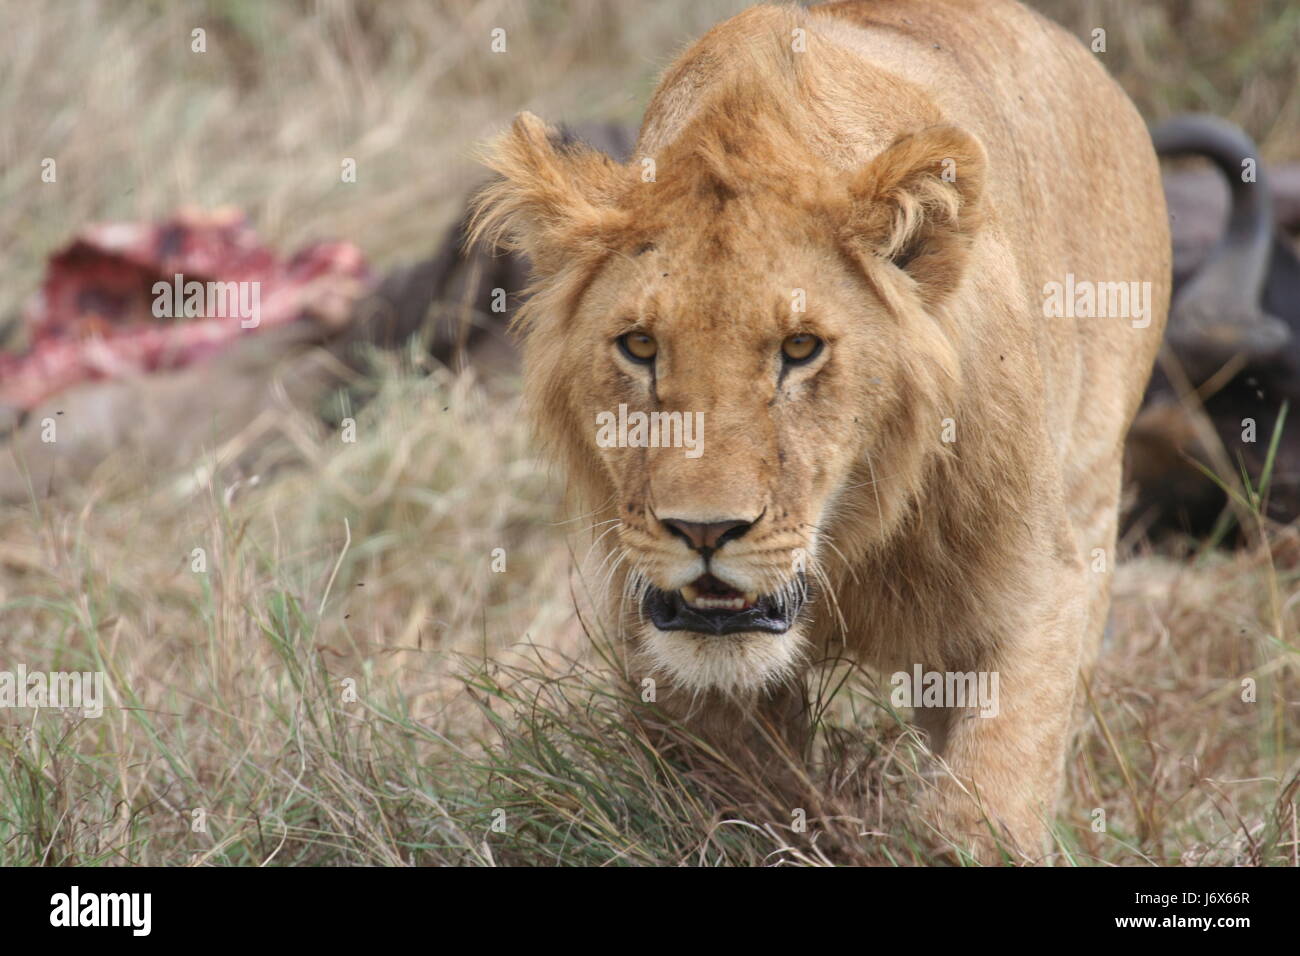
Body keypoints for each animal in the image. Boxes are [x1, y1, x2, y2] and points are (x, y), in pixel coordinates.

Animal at [472, 0, 1170, 862]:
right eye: (638, 346)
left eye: (800, 349)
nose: (705, 531)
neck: (848, 536)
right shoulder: (656, 639)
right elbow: (741, 805)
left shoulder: (1040, 585)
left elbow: (982, 803)